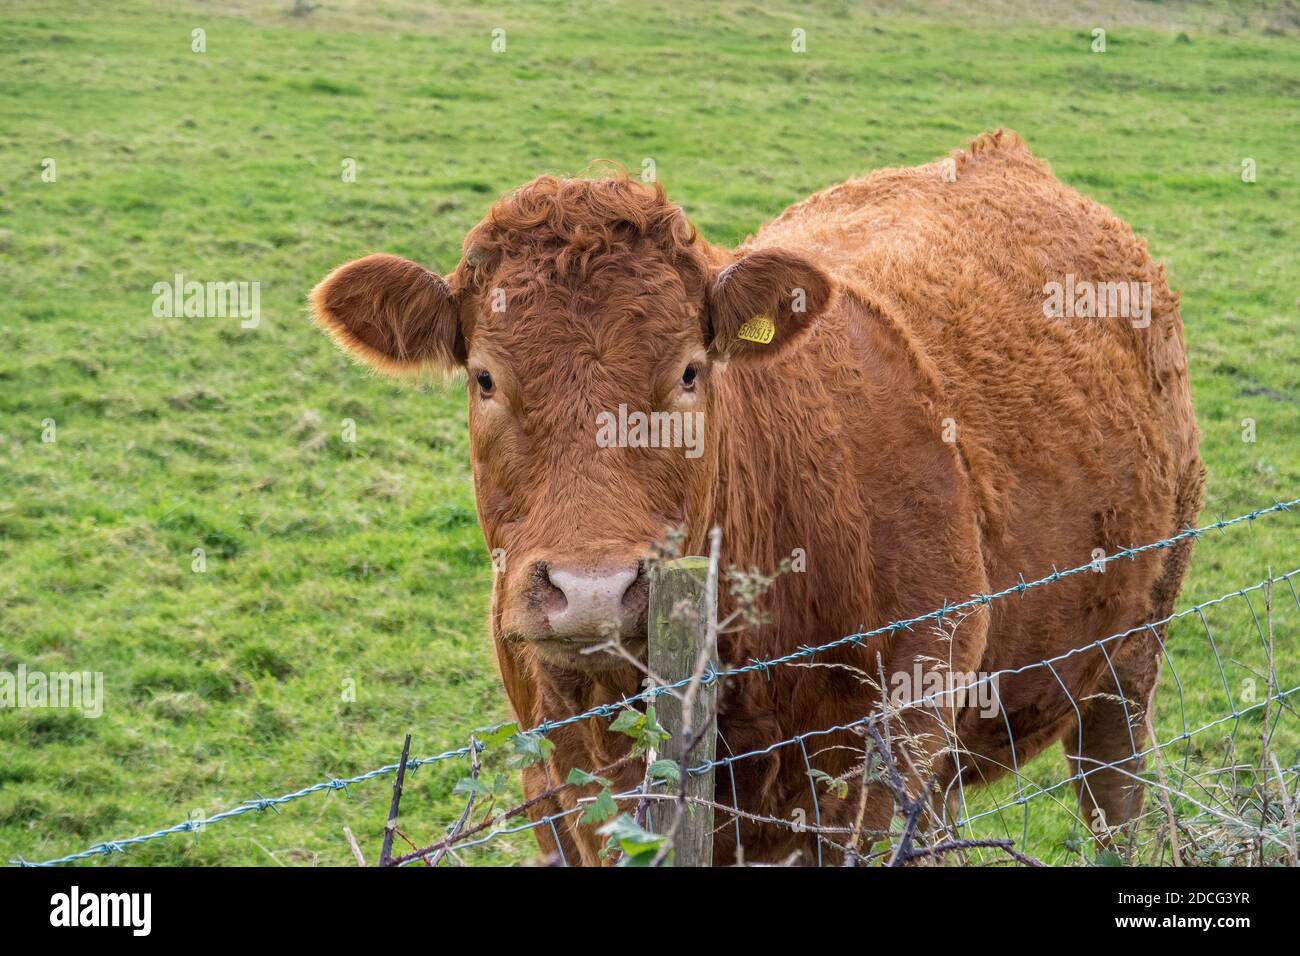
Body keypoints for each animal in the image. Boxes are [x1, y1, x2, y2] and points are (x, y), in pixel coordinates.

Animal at [310, 130, 1203, 865]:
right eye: (485, 377)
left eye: (689, 371)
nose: (591, 591)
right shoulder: (557, 792)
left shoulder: (875, 772)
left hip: (1133, 649)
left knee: (1113, 793)